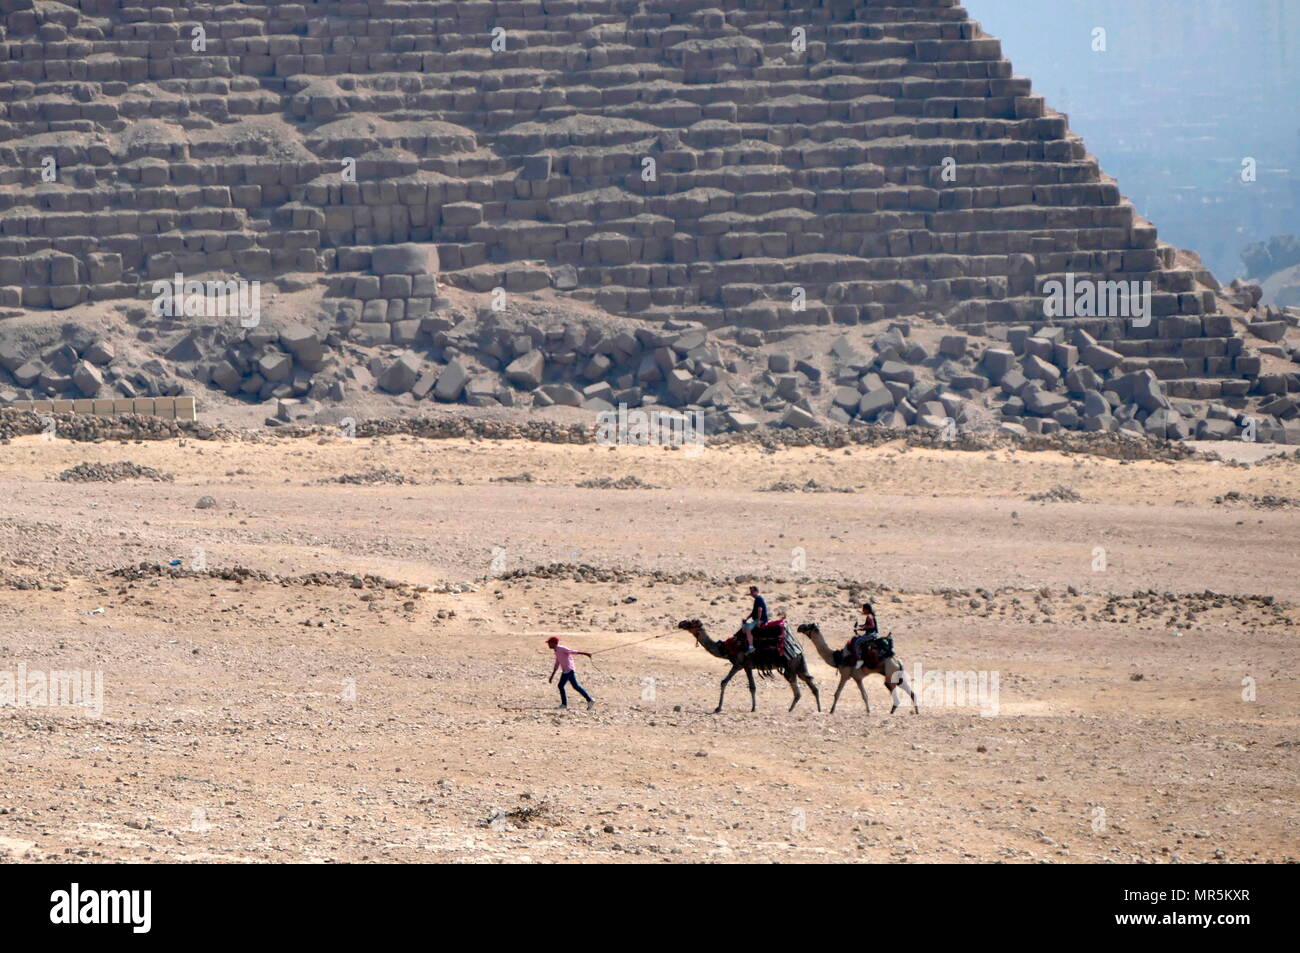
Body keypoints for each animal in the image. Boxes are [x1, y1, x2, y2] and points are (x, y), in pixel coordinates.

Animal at [676, 619, 820, 713]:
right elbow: (737, 684)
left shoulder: (743, 664)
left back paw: (792, 710)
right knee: (810, 683)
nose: (680, 623)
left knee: (799, 689)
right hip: (797, 665)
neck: (726, 648)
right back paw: (818, 709)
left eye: (691, 622)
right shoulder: (742, 665)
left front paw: (751, 708)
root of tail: (798, 649)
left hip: (791, 665)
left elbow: (745, 686)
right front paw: (720, 707)